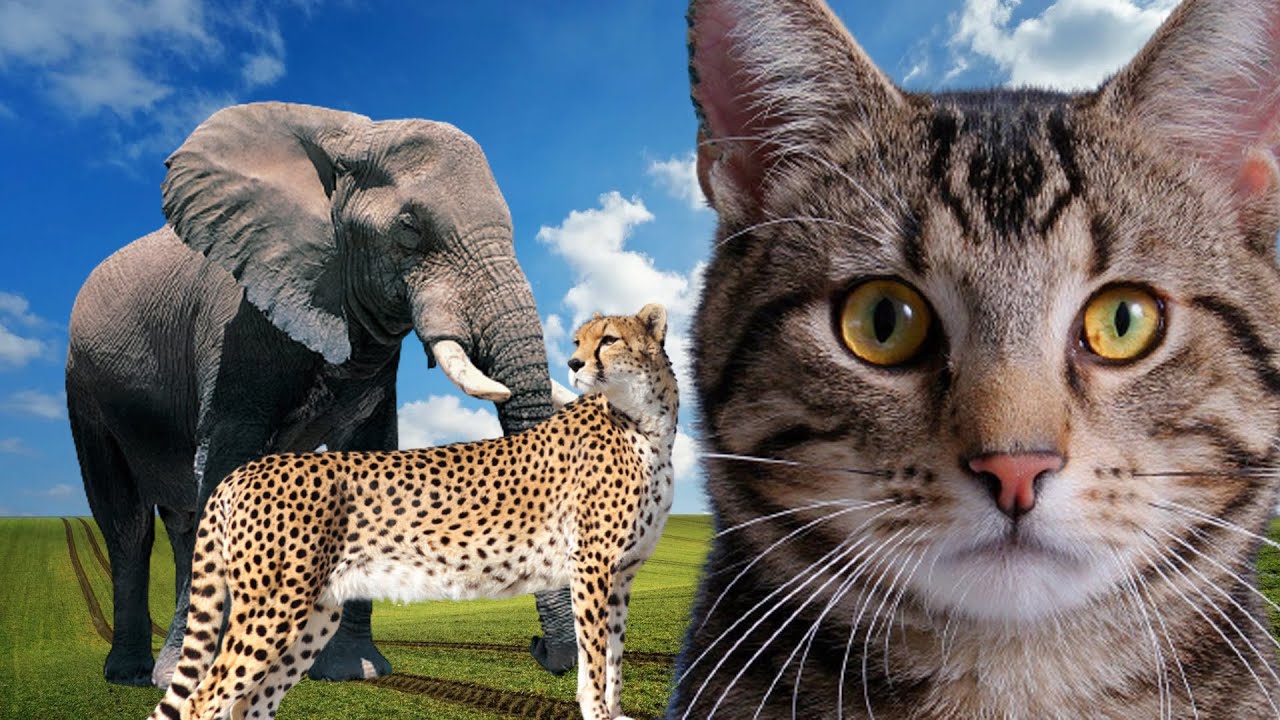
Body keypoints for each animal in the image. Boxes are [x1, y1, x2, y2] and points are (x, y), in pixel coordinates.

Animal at [65, 102, 578, 687]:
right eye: (409, 229)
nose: (543, 650)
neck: (350, 137)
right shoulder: (232, 325)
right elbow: (222, 462)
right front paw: (194, 682)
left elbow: (369, 453)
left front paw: (353, 670)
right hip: (85, 387)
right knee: (126, 523)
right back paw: (131, 675)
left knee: (178, 519)